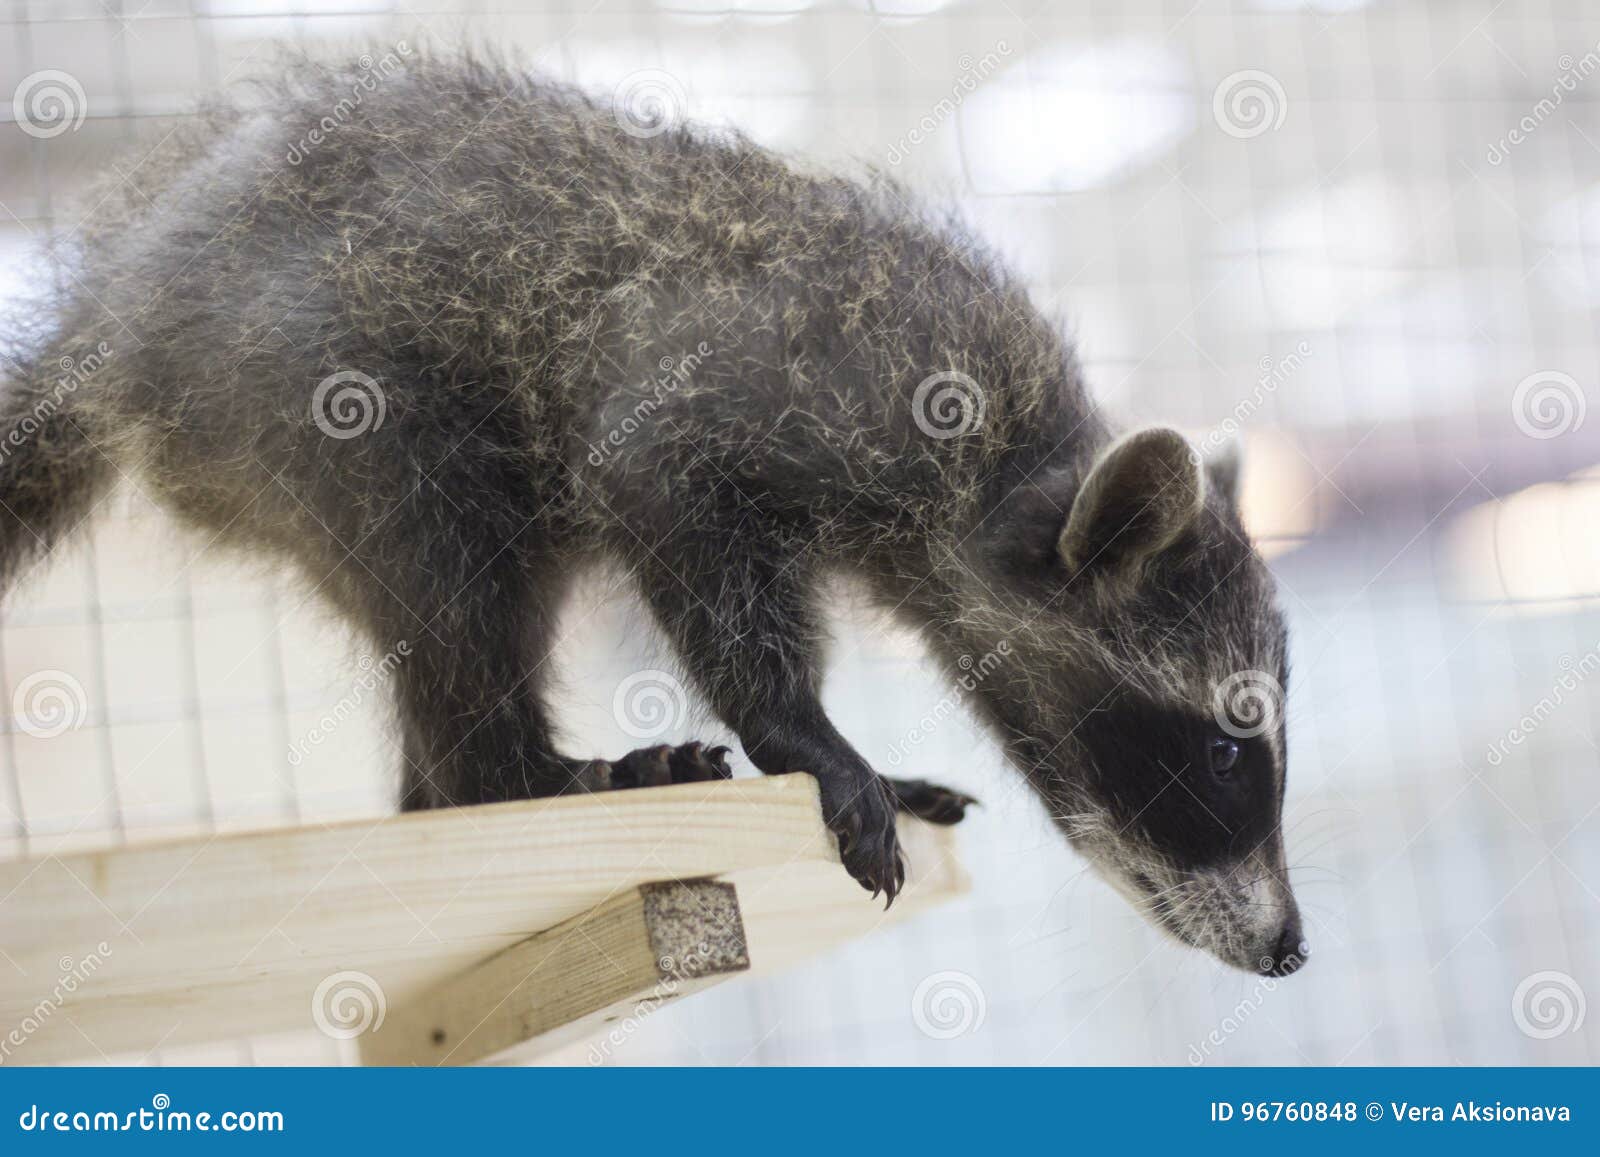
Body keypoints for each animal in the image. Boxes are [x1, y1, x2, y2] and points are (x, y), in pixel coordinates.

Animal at [0, 52, 1303, 975]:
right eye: (1228, 747)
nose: (1293, 948)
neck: (1020, 466)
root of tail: (110, 312)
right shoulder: (795, 384)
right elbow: (659, 489)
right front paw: (807, 734)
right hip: (303, 385)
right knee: (450, 567)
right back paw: (508, 774)